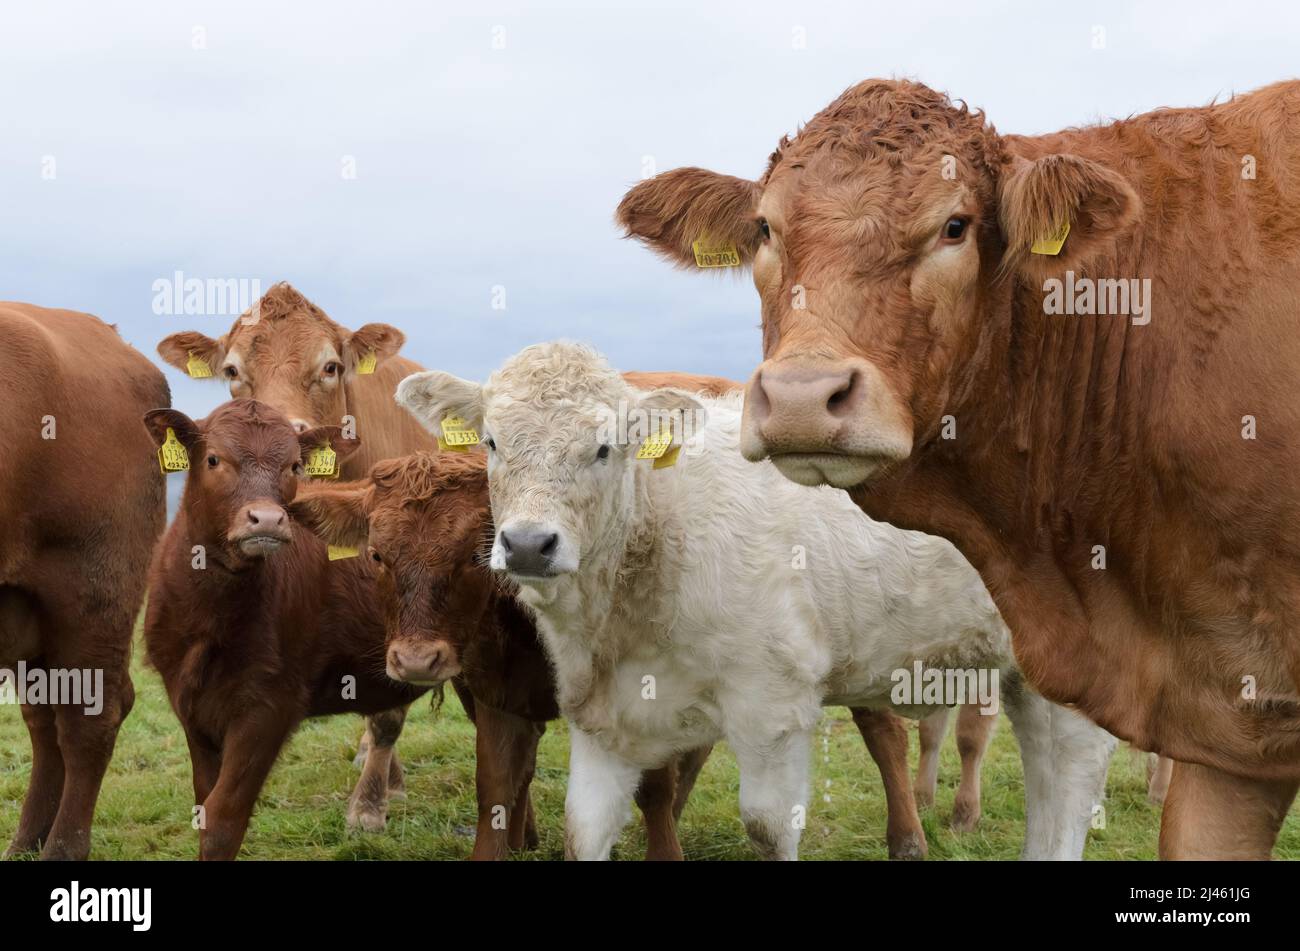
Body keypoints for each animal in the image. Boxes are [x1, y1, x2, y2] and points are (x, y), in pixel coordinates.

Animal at [141, 398, 429, 859]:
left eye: (294, 465)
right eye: (213, 459)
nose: (268, 519)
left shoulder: (270, 706)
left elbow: (223, 817)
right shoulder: (190, 705)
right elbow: (204, 802)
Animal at [289, 451, 711, 859]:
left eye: (475, 557)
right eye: (377, 556)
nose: (416, 660)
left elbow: (655, 788)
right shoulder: (496, 695)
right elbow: (495, 786)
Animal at [395, 342, 1116, 860]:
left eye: (604, 448)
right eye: (492, 442)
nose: (527, 544)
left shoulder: (773, 703)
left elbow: (768, 829)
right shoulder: (601, 718)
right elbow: (583, 832)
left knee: (1072, 779)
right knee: (1045, 776)